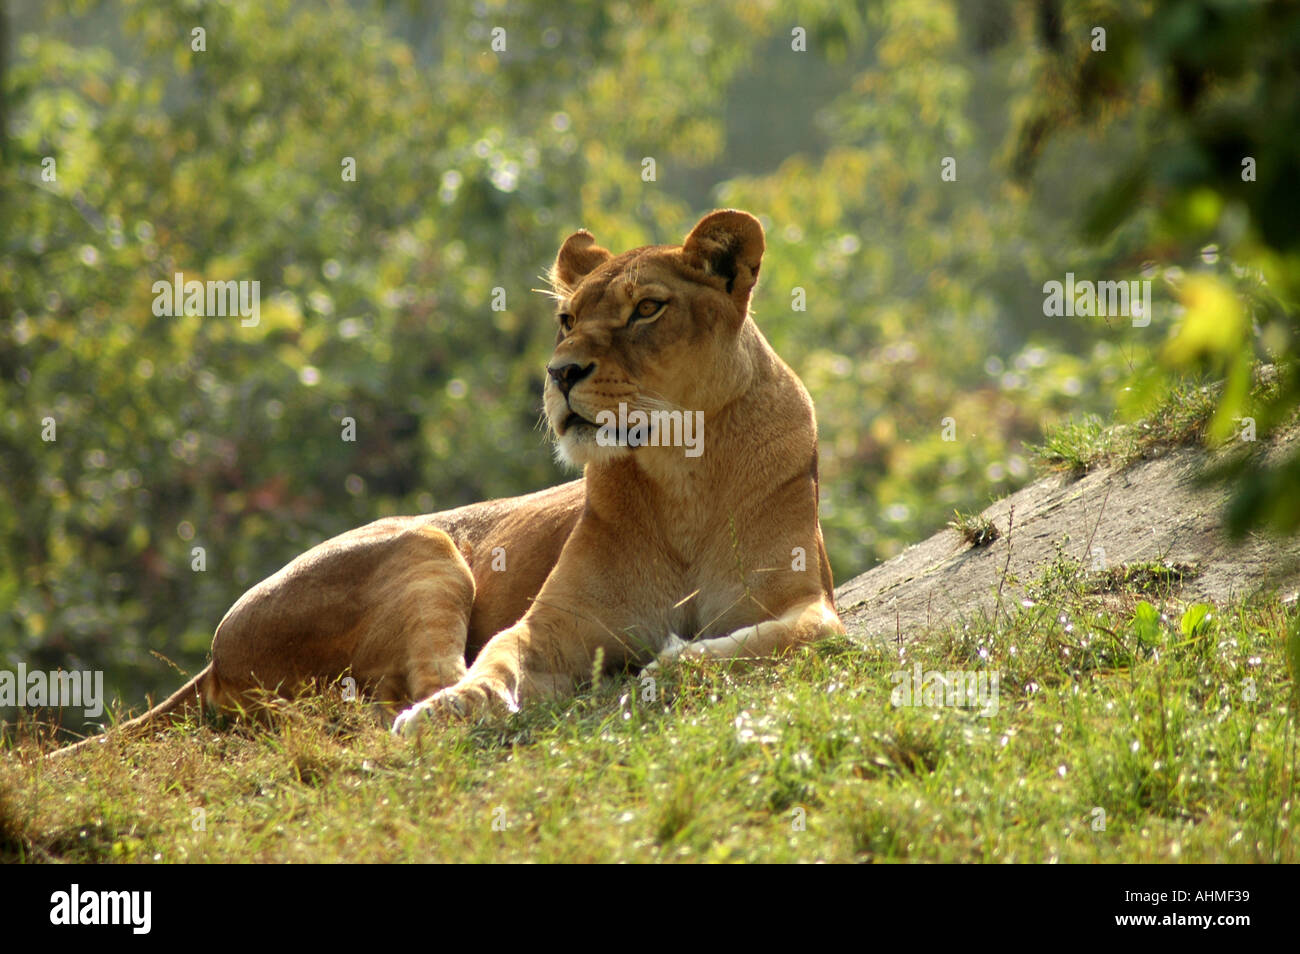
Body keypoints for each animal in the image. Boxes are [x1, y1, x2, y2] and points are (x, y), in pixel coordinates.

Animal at [53, 208, 843, 754]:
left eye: (647, 308)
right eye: (566, 318)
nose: (560, 373)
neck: (683, 471)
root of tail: (213, 656)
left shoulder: (811, 605)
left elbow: (781, 641)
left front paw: (671, 665)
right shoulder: (553, 627)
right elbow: (496, 660)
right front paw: (461, 708)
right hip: (424, 544)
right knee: (409, 681)